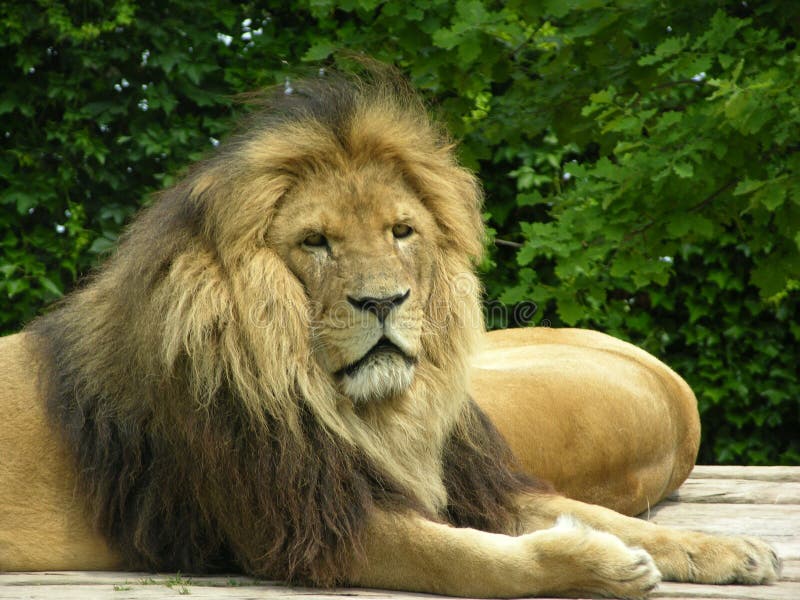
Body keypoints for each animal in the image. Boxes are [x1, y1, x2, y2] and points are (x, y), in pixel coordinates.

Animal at [0, 70, 780, 598]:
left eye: (401, 232)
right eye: (315, 242)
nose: (383, 301)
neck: (376, 413)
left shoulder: (470, 479)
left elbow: (599, 513)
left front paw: (724, 548)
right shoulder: (305, 524)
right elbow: (467, 558)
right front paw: (596, 563)